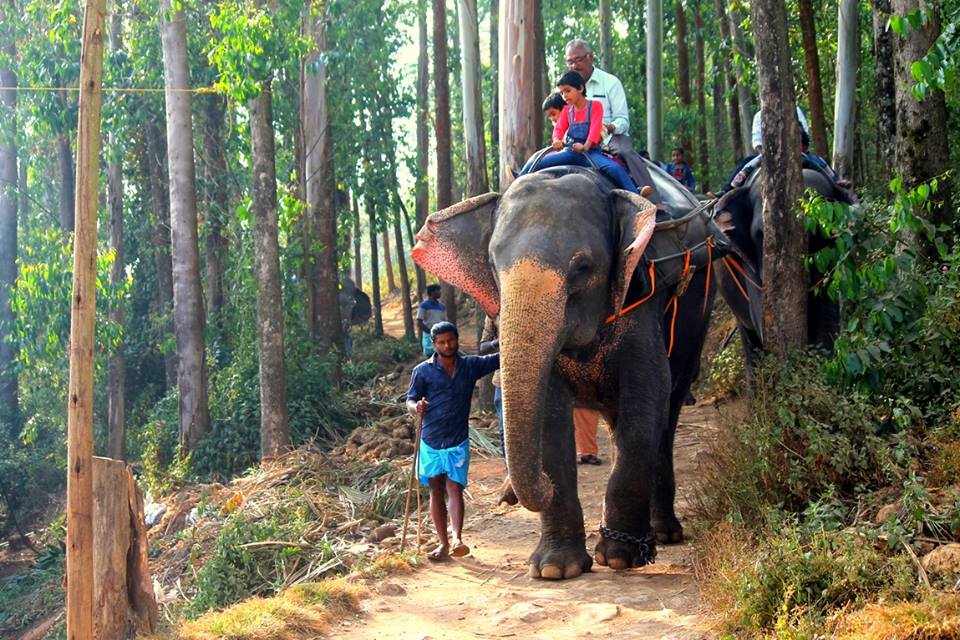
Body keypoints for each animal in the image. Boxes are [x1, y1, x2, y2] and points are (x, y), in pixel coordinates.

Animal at [412, 165, 726, 580]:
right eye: (493, 267)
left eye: (583, 267)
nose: (519, 492)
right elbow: (549, 416)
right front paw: (556, 569)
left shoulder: (640, 296)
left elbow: (648, 397)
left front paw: (619, 556)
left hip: (698, 317)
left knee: (667, 410)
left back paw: (663, 533)